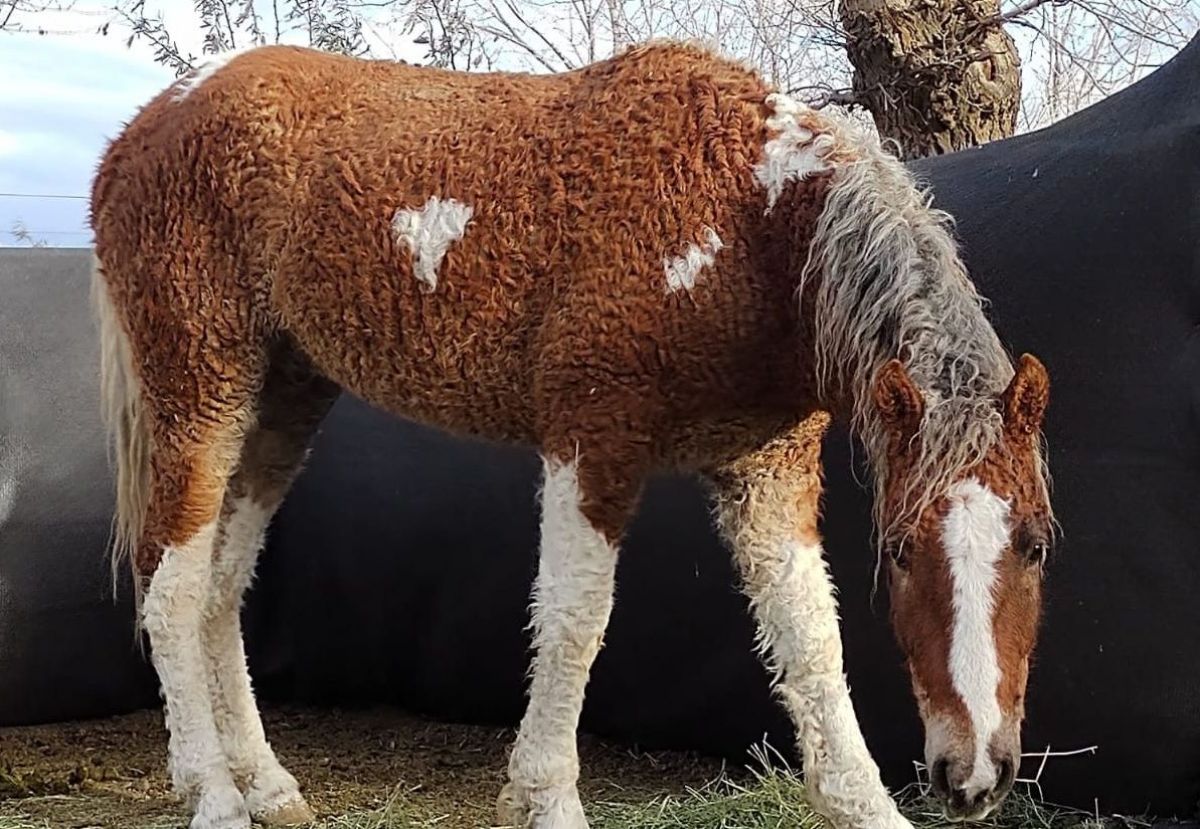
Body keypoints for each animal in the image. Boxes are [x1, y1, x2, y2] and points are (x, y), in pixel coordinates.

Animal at [89, 40, 1054, 829]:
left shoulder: (766, 467)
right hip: (200, 388)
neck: (748, 223)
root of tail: (134, 135)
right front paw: (545, 796)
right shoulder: (594, 437)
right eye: (899, 550)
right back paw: (213, 794)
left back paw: (266, 783)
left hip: (284, 400)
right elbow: (575, 617)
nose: (974, 775)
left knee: (220, 588)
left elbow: (809, 632)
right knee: (171, 588)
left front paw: (861, 802)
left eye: (1038, 543)